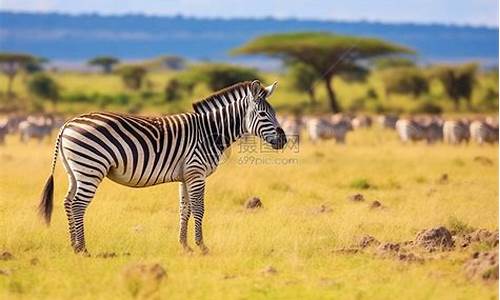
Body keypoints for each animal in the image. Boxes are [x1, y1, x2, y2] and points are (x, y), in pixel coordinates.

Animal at [38, 81, 288, 254]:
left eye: (275, 113)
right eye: (263, 114)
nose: (284, 140)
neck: (210, 131)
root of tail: (68, 123)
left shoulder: (186, 176)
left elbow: (185, 209)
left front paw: (185, 246)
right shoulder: (196, 172)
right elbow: (199, 209)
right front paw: (202, 247)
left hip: (75, 170)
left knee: (68, 201)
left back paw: (73, 245)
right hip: (91, 167)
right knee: (78, 205)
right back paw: (83, 249)